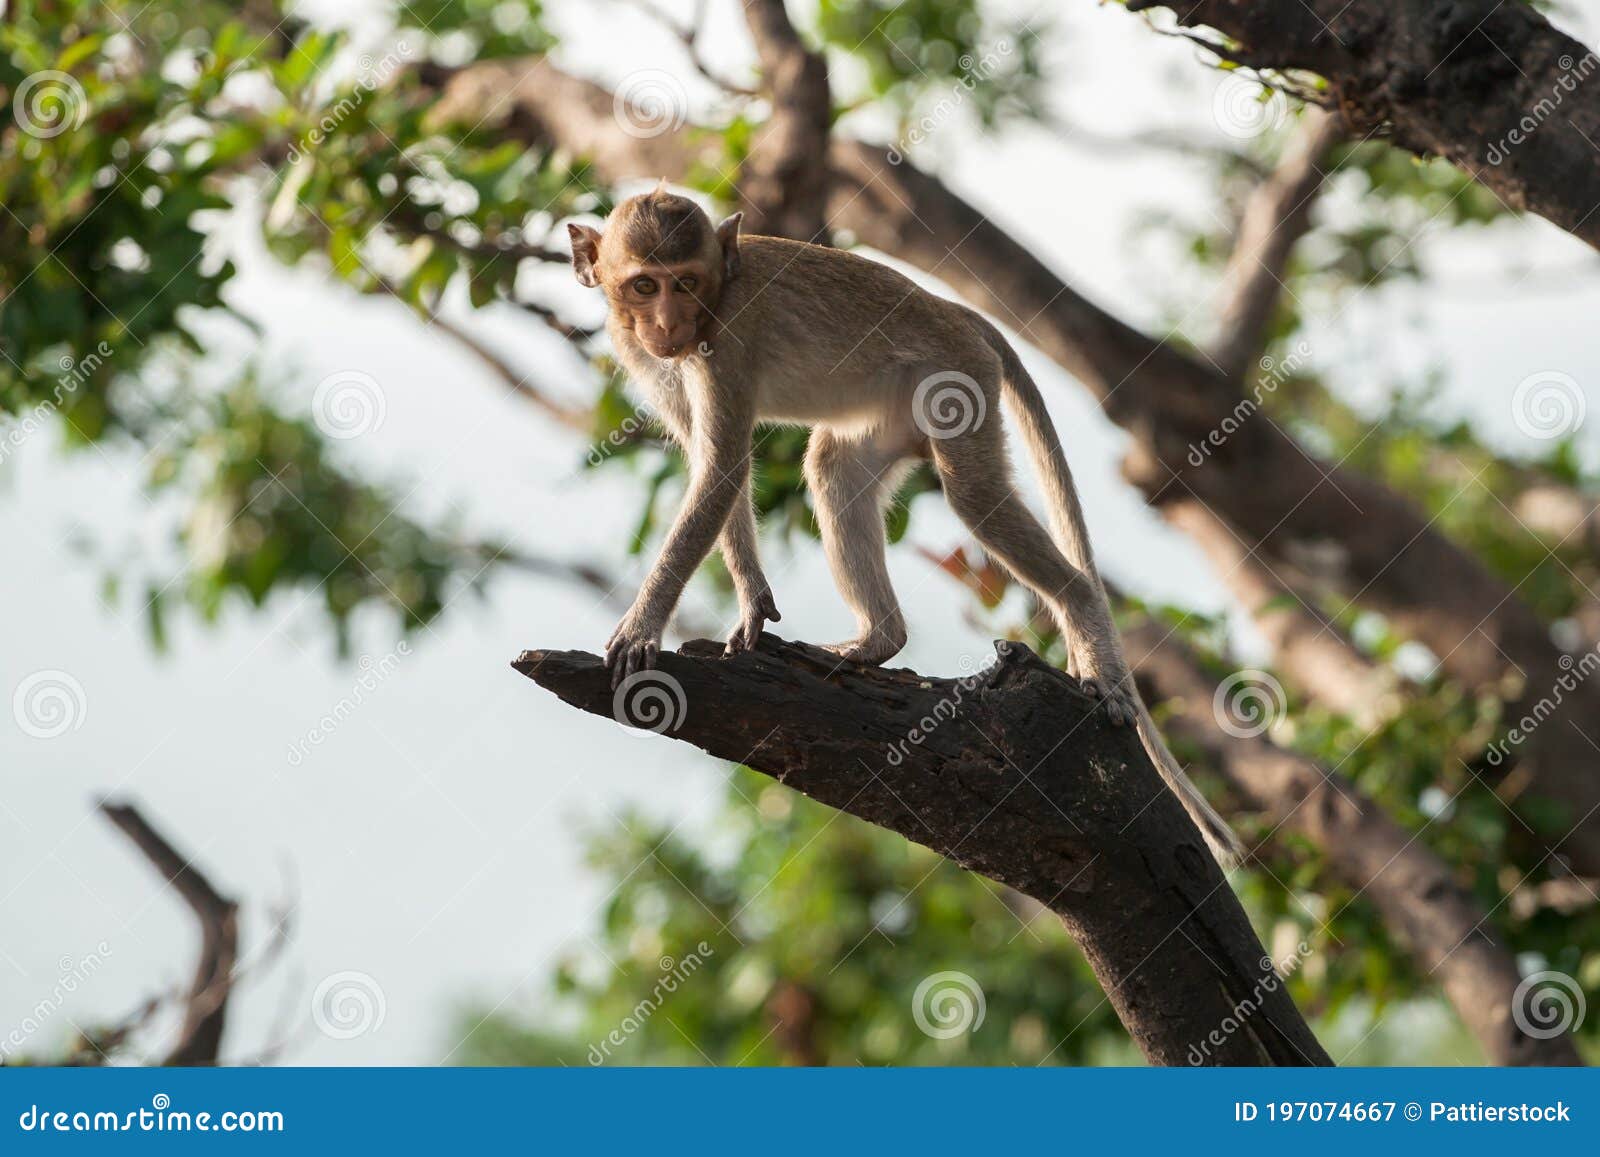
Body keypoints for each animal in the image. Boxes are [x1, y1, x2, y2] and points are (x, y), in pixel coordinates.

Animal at [567, 185, 1244, 865]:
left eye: (686, 282)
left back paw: (1084, 629)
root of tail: (955, 311)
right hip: (896, 408)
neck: (715, 300)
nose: (668, 326)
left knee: (974, 497)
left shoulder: (725, 342)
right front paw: (753, 599)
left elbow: (722, 470)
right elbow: (710, 467)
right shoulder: (649, 357)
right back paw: (878, 640)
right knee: (835, 469)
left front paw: (641, 628)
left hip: (958, 377)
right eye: (644, 286)